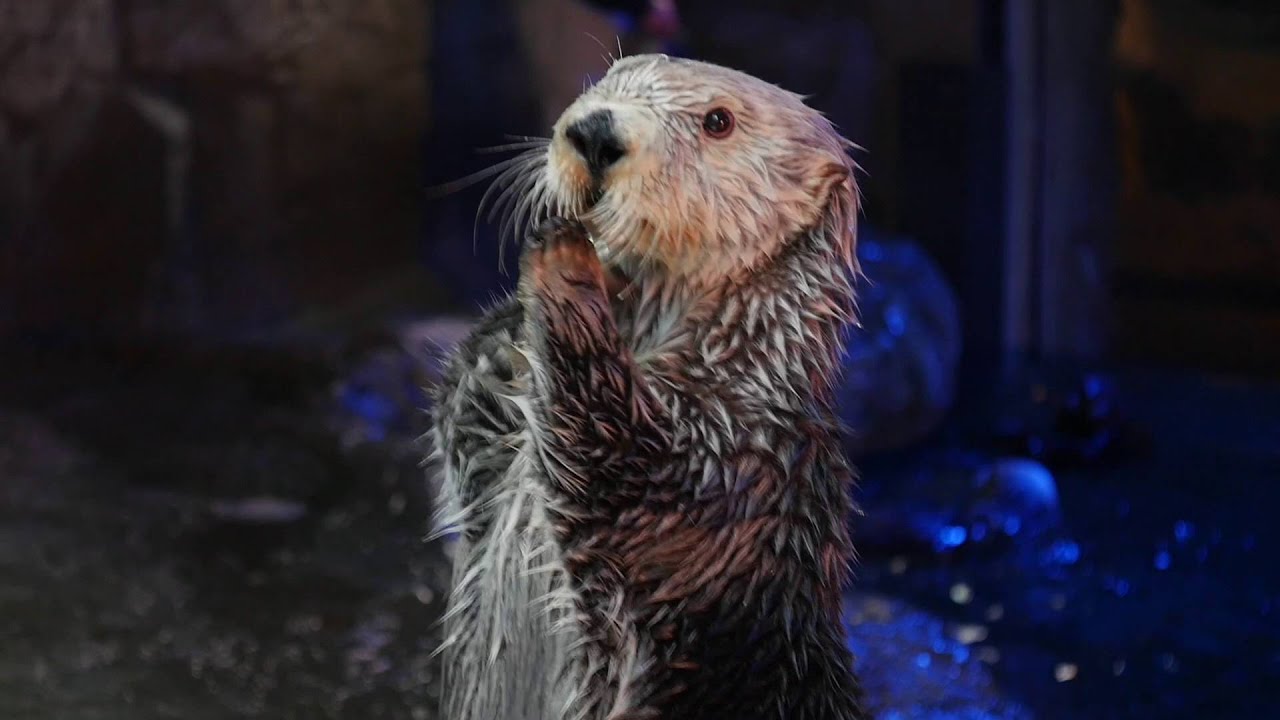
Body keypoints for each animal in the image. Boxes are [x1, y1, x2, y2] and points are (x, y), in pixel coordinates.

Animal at [431, 54, 868, 719]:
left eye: (718, 121)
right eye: (607, 78)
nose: (595, 132)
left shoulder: (722, 466)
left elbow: (615, 449)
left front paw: (569, 264)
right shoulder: (485, 464)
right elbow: (465, 417)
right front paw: (518, 333)